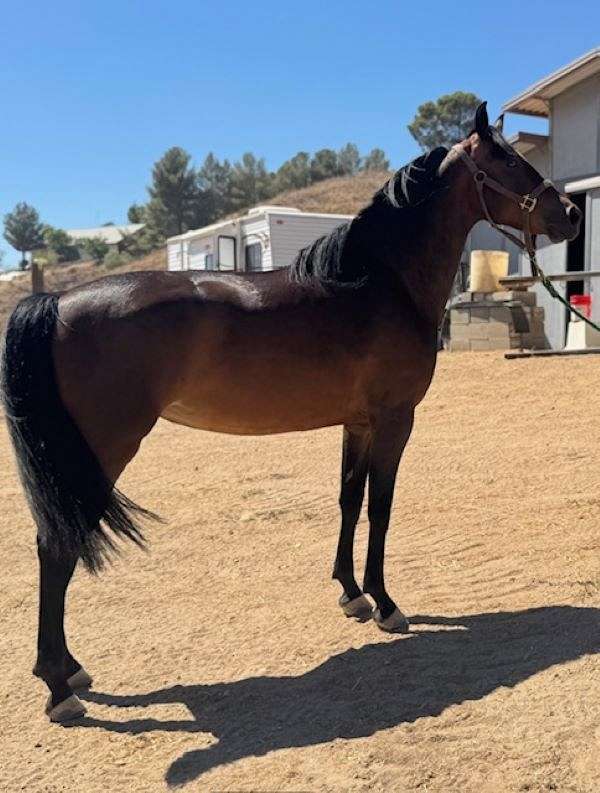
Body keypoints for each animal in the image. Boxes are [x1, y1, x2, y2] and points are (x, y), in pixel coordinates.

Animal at [2, 103, 581, 722]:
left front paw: (351, 595)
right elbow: (381, 508)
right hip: (104, 450)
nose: (572, 214)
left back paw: (70, 671)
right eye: (509, 161)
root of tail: (56, 301)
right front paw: (386, 604)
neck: (379, 284)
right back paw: (60, 687)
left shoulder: (358, 423)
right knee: (57, 547)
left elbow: (349, 500)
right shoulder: (395, 420)